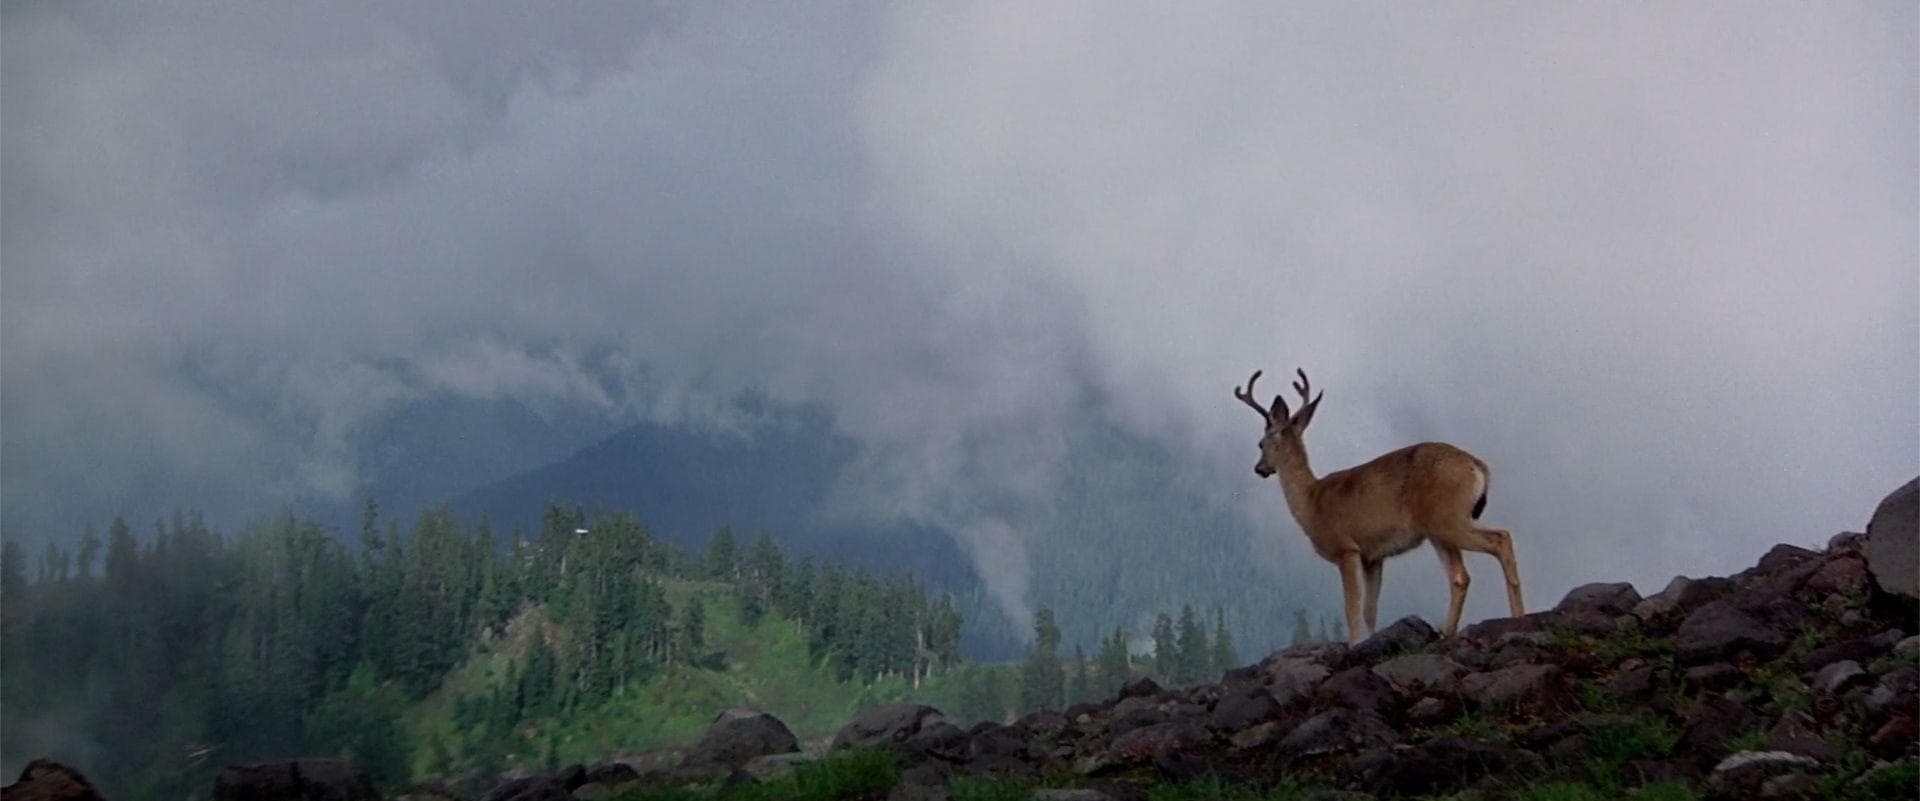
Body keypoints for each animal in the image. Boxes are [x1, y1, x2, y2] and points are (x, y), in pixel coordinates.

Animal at [1234, 368, 1524, 644]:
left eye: (1261, 443)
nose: (1260, 468)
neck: (1311, 500)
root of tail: (1478, 466)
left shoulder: (1346, 547)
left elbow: (1352, 608)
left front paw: (1353, 645)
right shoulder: (1373, 556)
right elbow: (1369, 610)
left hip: (1447, 518)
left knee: (1501, 538)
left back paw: (1517, 615)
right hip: (1439, 528)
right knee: (1460, 575)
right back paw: (1448, 630)